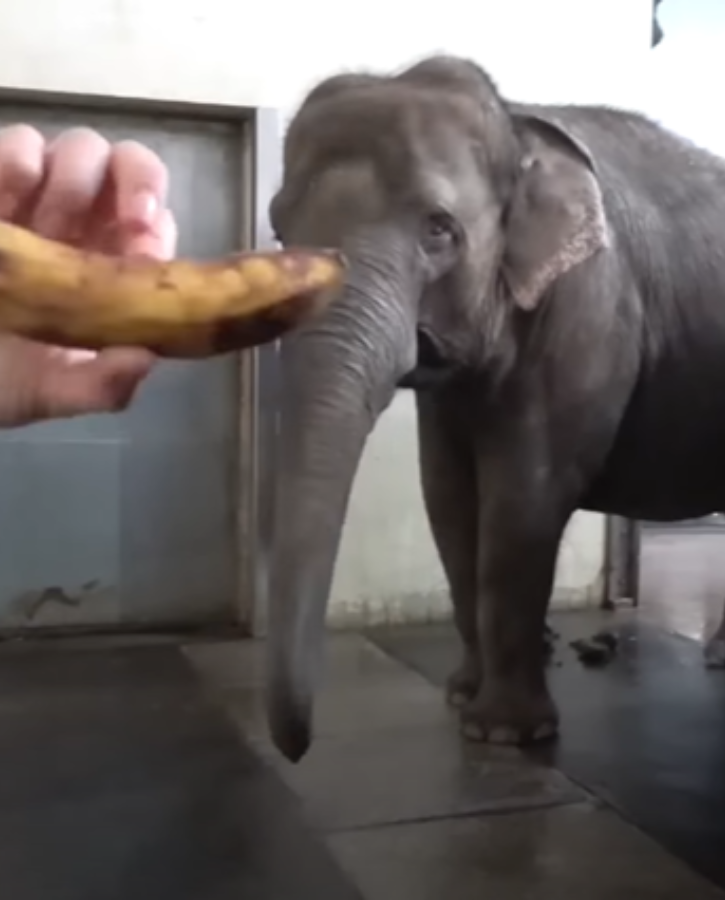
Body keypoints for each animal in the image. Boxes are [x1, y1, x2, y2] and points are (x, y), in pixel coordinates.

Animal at [265, 53, 725, 763]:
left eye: (438, 229)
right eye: (278, 226)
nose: (297, 749)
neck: (516, 121)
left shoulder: (588, 309)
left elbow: (523, 497)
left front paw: (505, 733)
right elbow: (449, 497)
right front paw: (461, 697)